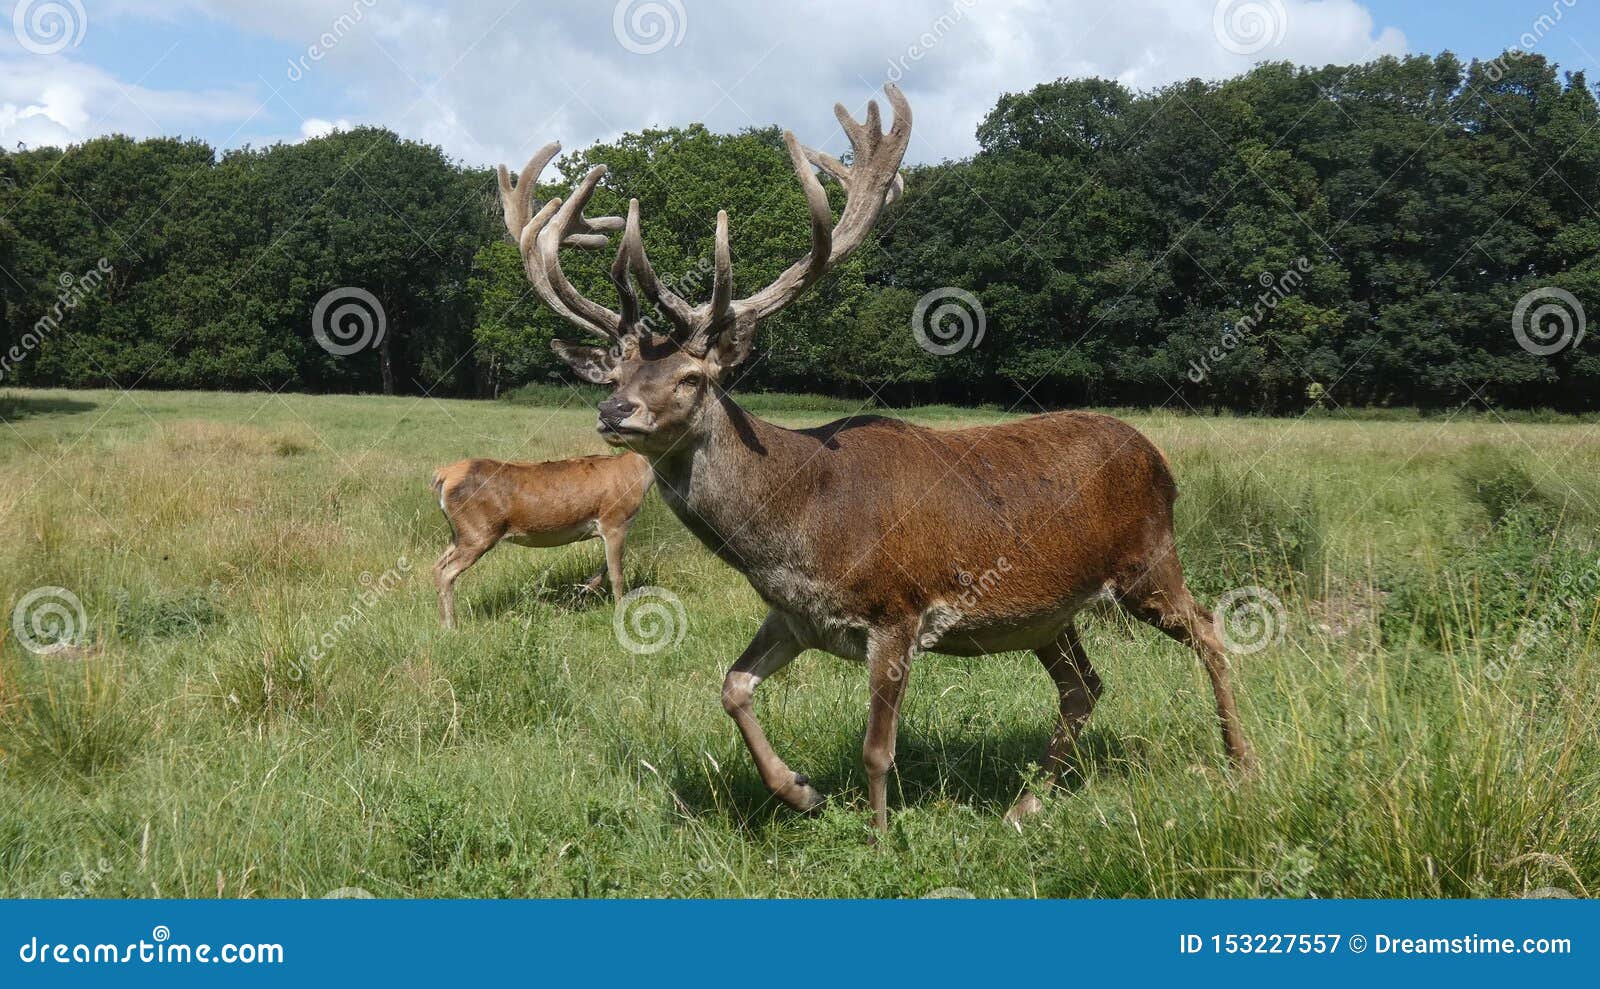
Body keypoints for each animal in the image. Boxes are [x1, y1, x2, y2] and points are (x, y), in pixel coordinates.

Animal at [430, 452, 653, 628]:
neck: (634, 473)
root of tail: (444, 475)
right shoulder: (615, 522)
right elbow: (617, 574)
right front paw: (620, 611)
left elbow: (605, 568)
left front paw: (585, 589)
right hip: (478, 535)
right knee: (447, 571)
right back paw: (451, 627)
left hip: (459, 535)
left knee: (437, 566)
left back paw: (443, 625)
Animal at [494, 83, 1255, 835]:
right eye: (617, 373)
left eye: (691, 377)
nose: (614, 412)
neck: (798, 526)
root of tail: (1159, 459)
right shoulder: (794, 616)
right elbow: (731, 687)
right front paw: (800, 791)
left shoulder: (899, 609)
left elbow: (876, 748)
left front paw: (883, 839)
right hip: (1049, 613)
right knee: (1085, 685)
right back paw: (1027, 803)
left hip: (1148, 561)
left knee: (1211, 628)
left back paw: (1238, 761)